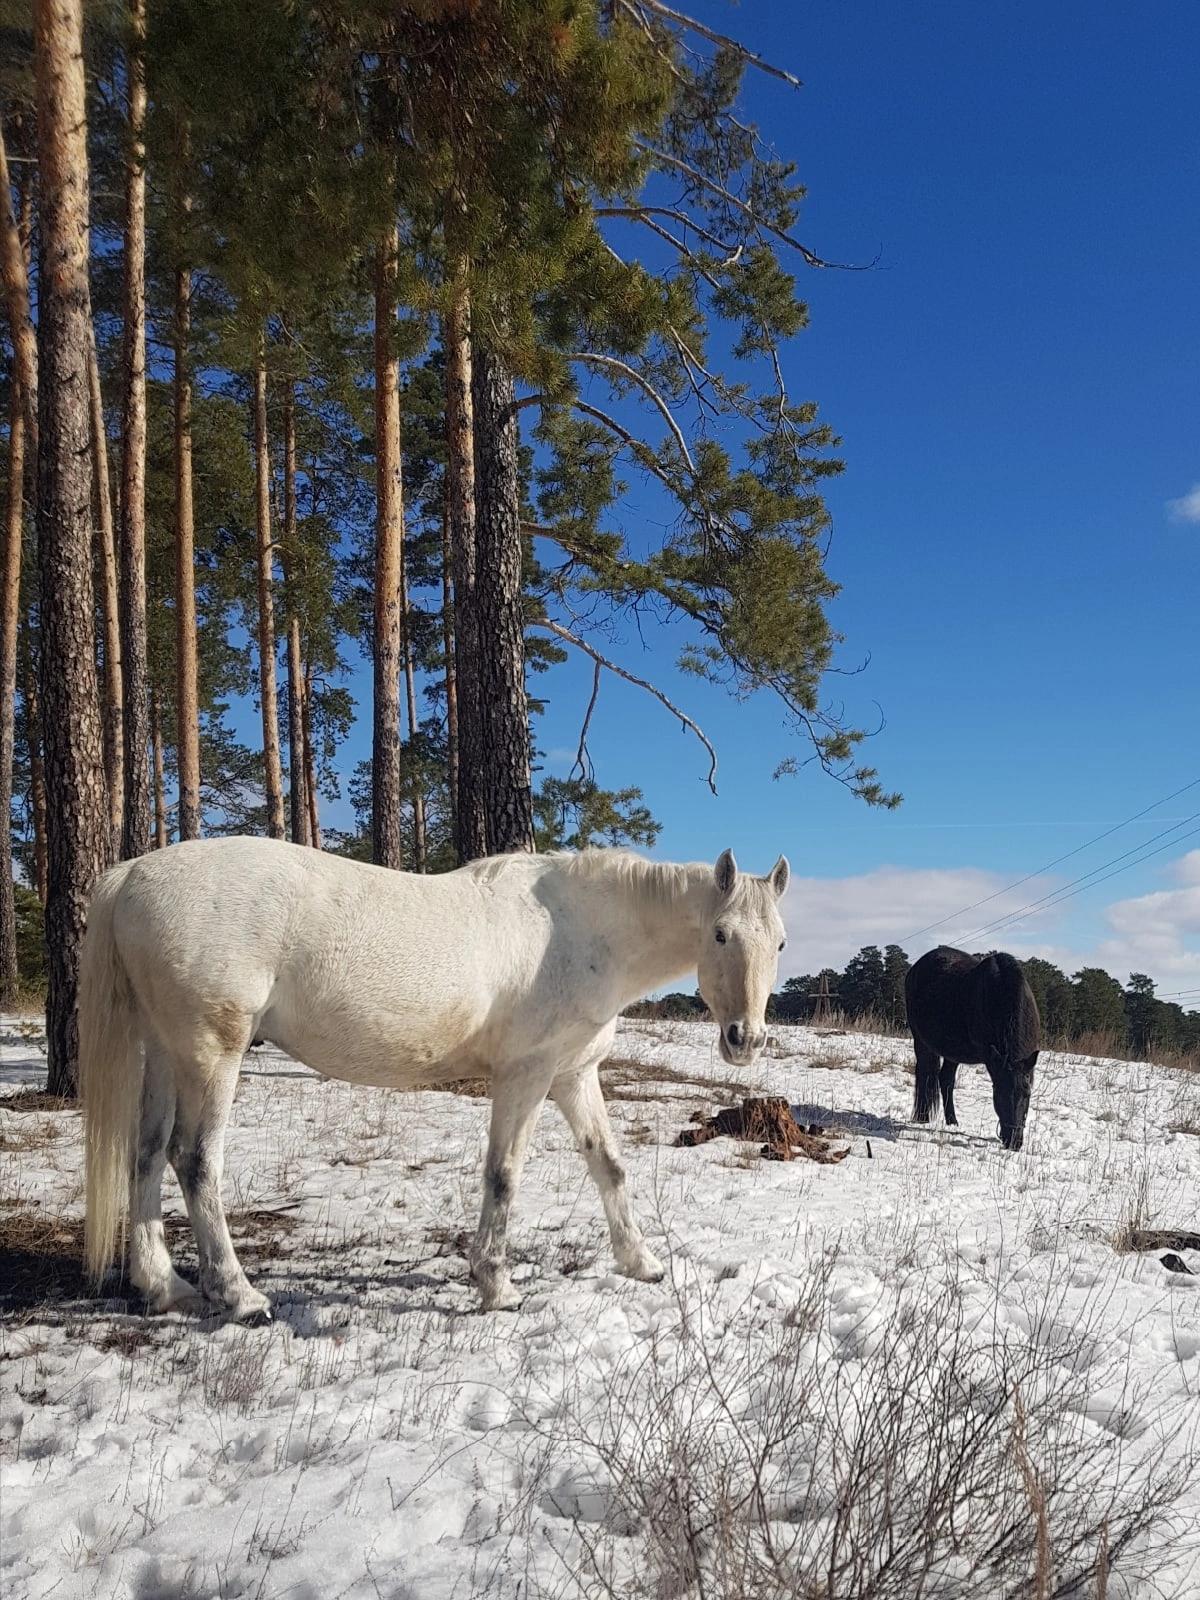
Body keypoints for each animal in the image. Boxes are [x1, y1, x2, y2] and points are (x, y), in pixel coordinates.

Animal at [80, 838, 793, 1312]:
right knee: (195, 1160)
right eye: (722, 935)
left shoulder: (574, 1076)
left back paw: (163, 1285)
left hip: (163, 1050)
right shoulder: (526, 1077)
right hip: (212, 1052)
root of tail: (132, 873)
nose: (746, 1040)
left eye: (780, 942)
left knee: (146, 1155)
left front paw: (640, 1262)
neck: (579, 932)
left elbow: (608, 1166)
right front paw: (497, 1284)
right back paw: (238, 1294)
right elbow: (504, 1176)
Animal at [908, 940, 1036, 1145]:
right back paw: (922, 1117)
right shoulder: (992, 1059)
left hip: (952, 1050)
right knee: (925, 1075)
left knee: (946, 1079)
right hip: (921, 1042)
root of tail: (915, 968)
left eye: (1027, 1094)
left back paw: (952, 1122)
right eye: (999, 1094)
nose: (1014, 1142)